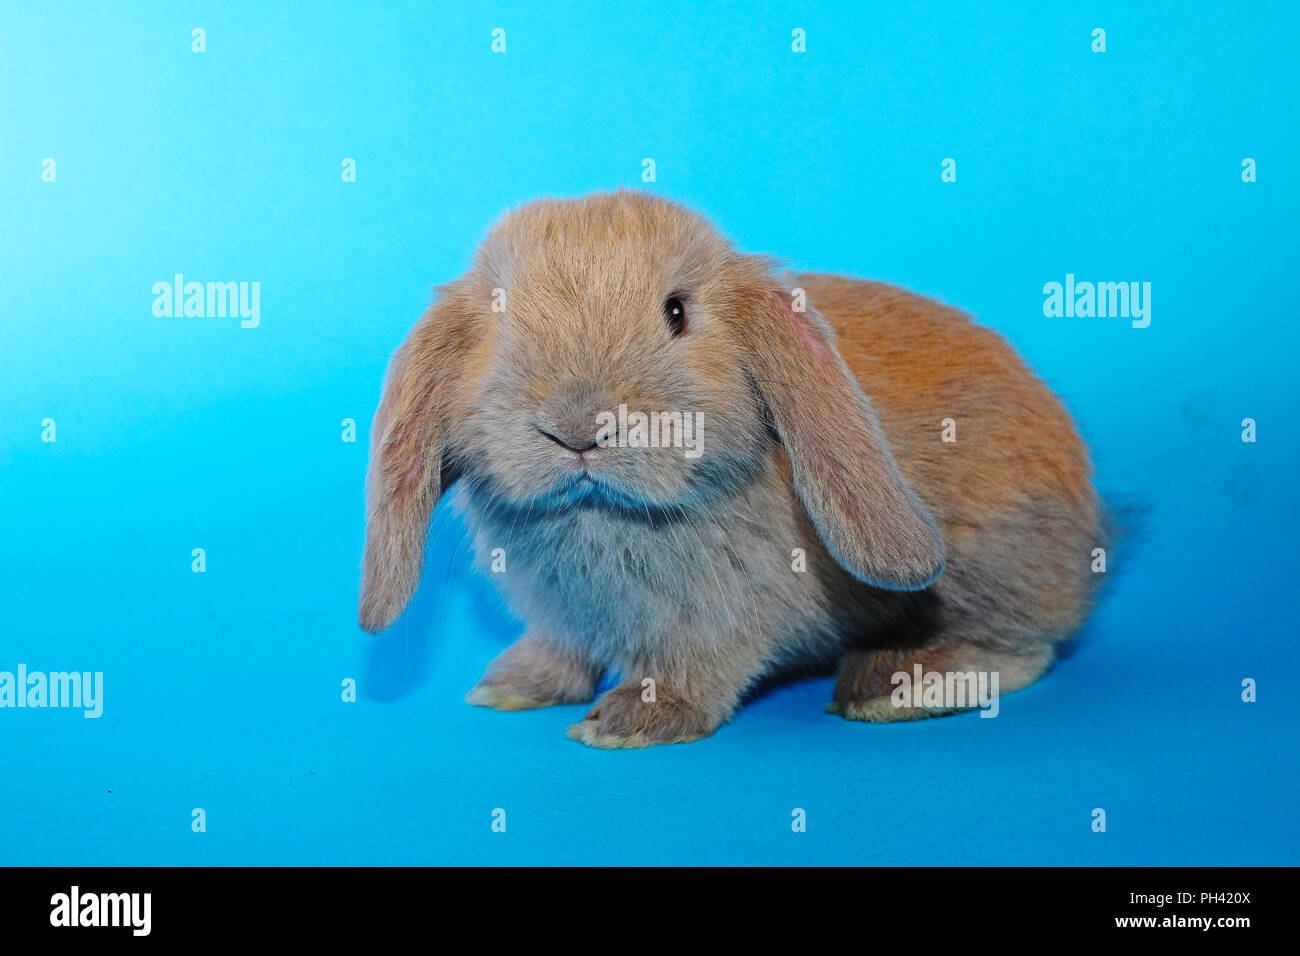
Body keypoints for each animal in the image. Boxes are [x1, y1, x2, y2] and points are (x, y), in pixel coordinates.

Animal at [359, 190, 1102, 748]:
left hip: (995, 566)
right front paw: (513, 685)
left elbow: (707, 664)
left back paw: (898, 683)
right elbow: (560, 647)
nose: (577, 427)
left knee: (1026, 647)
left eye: (677, 313)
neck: (603, 516)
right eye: (501, 314)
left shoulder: (736, 614)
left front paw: (632, 720)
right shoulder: (560, 616)